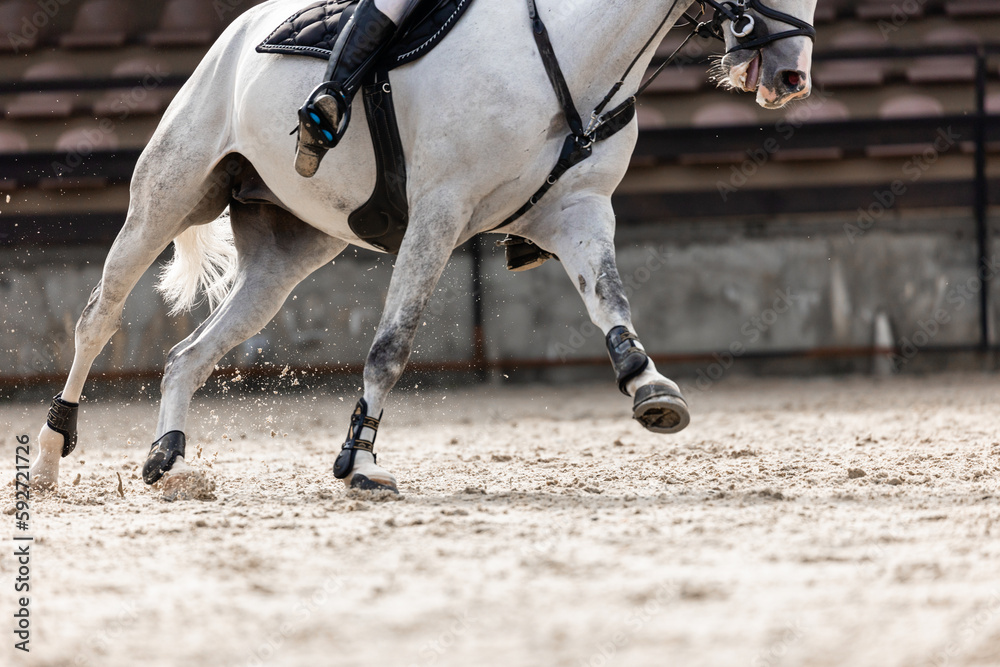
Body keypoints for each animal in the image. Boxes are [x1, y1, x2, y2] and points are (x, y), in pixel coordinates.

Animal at [29, 0, 817, 495]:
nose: (790, 77)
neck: (573, 54)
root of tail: (236, 33)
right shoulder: (439, 211)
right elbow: (391, 344)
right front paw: (360, 458)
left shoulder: (580, 212)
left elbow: (612, 305)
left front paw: (651, 388)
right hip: (166, 197)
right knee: (98, 318)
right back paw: (49, 455)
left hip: (285, 258)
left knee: (188, 353)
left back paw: (165, 454)